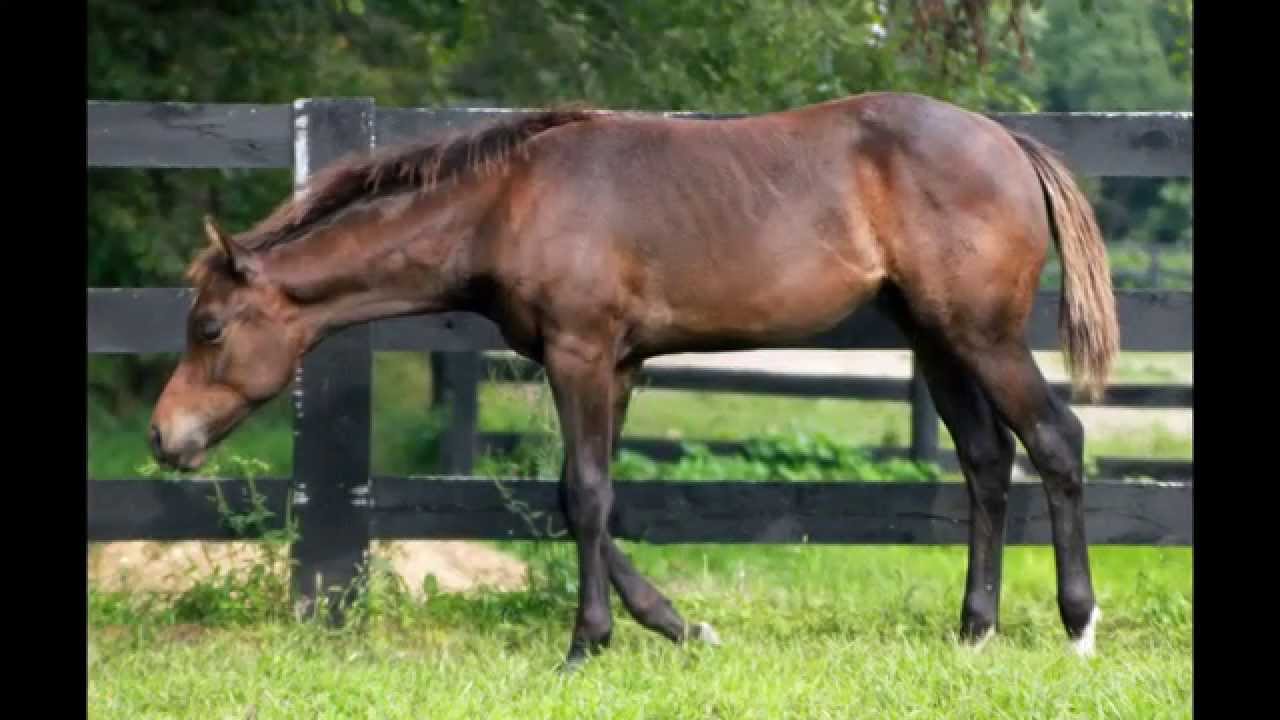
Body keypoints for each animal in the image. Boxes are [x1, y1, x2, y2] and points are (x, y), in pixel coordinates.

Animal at [149, 91, 1118, 668]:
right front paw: (683, 624)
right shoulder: (614, 367)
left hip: (981, 335)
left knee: (1056, 440)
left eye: (209, 329)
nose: (165, 436)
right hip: (936, 340)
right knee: (987, 461)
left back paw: (1077, 626)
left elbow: (584, 495)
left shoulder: (579, 355)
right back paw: (975, 629)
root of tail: (1010, 142)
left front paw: (587, 644)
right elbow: (582, 496)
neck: (507, 202)